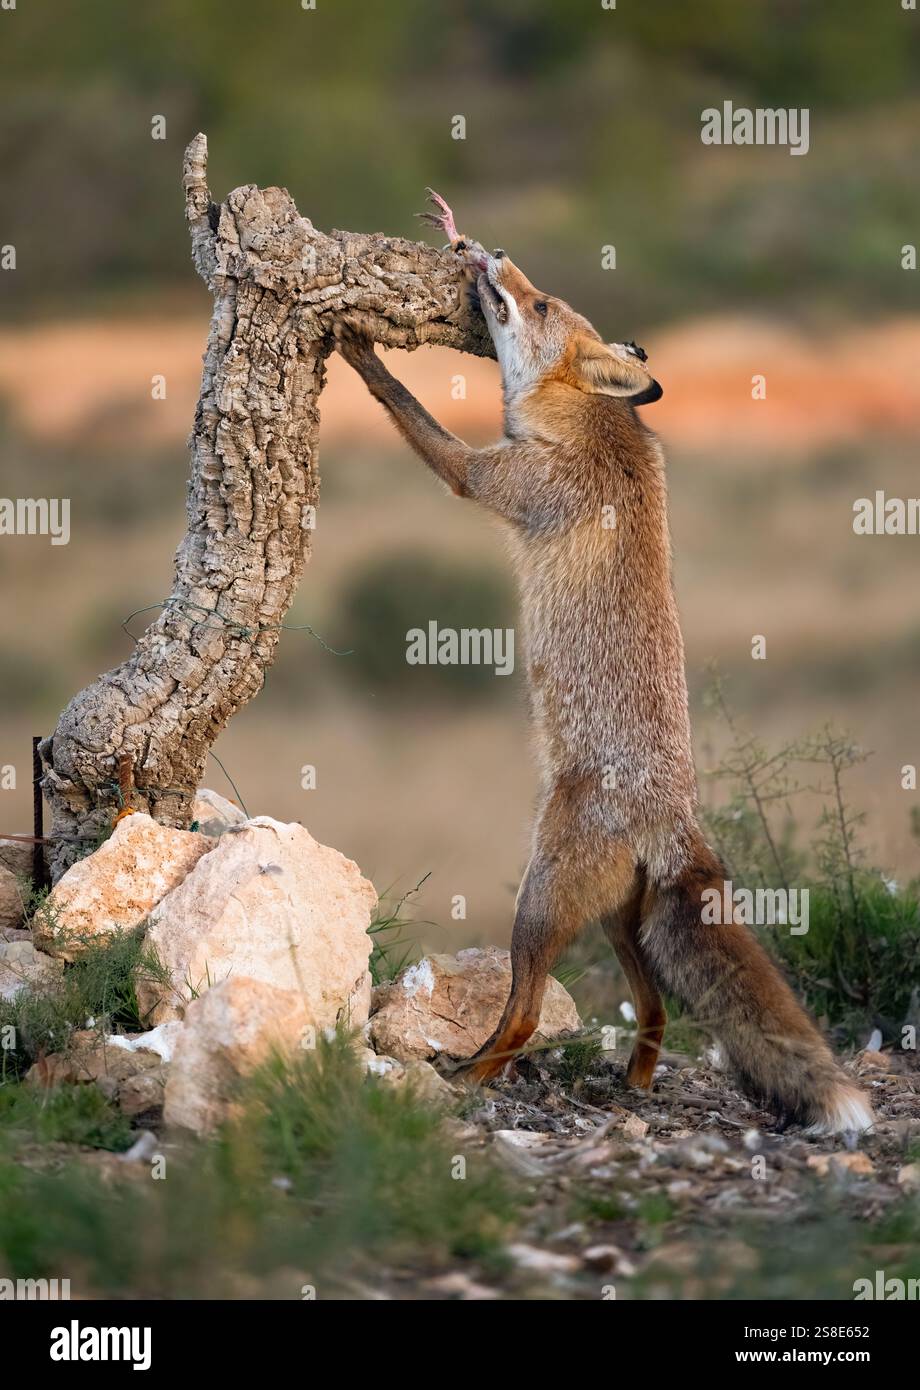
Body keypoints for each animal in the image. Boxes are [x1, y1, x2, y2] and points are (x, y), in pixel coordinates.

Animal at [335, 190, 873, 1136]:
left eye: (542, 302)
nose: (490, 250)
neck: (598, 421)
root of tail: (678, 818)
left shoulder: (486, 480)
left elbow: (409, 407)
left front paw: (363, 352)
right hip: (620, 922)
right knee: (652, 1006)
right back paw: (631, 1083)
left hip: (539, 899)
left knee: (522, 1014)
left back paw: (472, 1078)